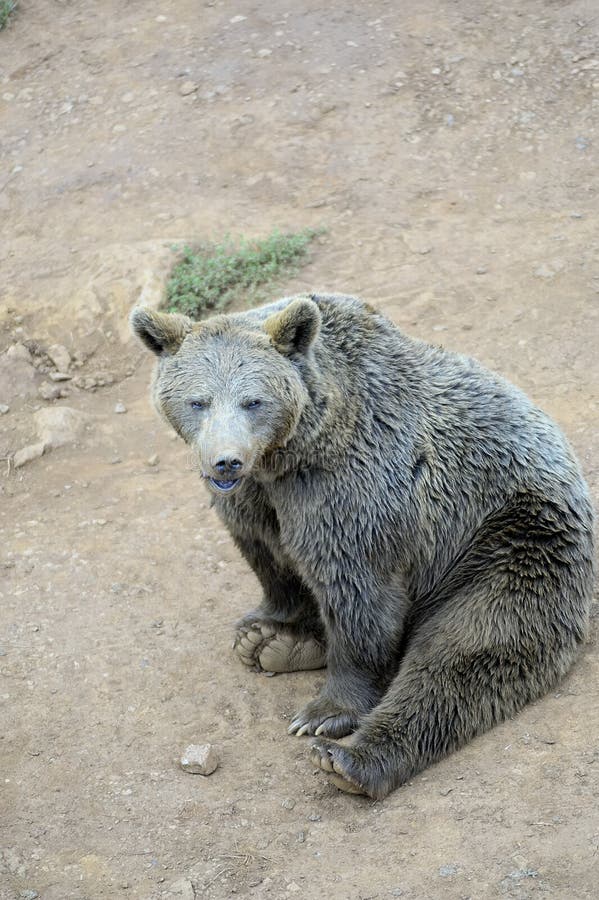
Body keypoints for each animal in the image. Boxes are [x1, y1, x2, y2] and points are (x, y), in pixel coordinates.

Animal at [131, 293, 595, 799]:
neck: (289, 456)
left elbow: (359, 593)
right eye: (198, 401)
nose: (226, 461)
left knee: (468, 649)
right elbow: (270, 558)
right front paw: (264, 625)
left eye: (253, 401)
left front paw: (326, 712)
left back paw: (350, 759)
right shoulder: (257, 501)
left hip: (512, 542)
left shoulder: (356, 488)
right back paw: (275, 646)